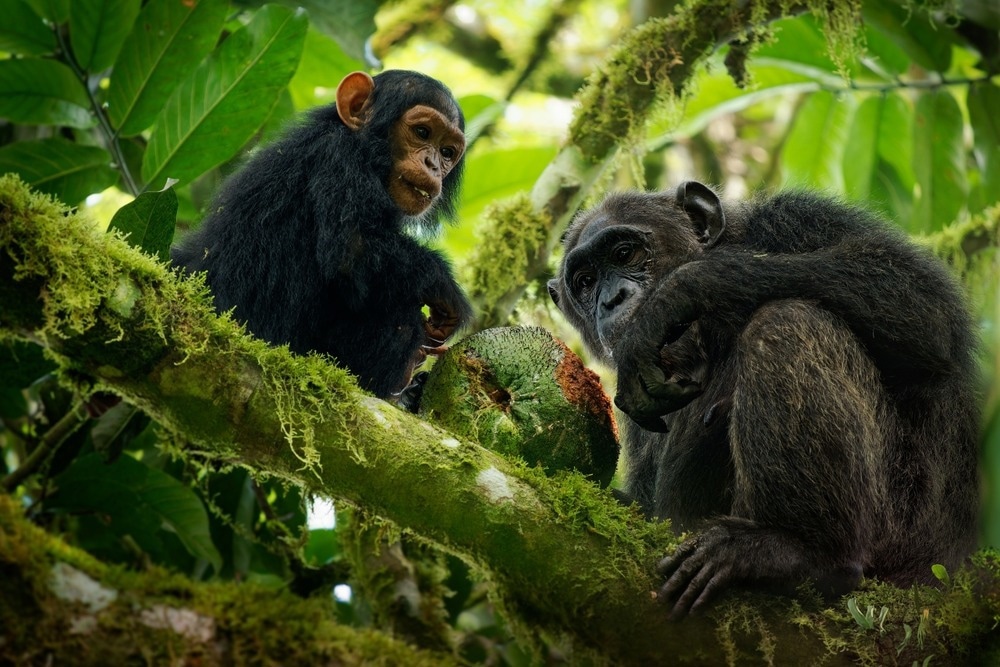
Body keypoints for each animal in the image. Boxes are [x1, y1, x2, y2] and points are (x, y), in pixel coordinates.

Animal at [174, 70, 470, 400]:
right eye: (422, 132)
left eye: (447, 152)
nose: (433, 164)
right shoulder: (338, 160)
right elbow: (353, 249)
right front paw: (447, 290)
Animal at [548, 183, 976, 620]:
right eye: (586, 282)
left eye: (624, 254)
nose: (612, 299)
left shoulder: (800, 218)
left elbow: (917, 298)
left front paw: (674, 296)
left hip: (900, 536)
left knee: (786, 322)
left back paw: (801, 551)